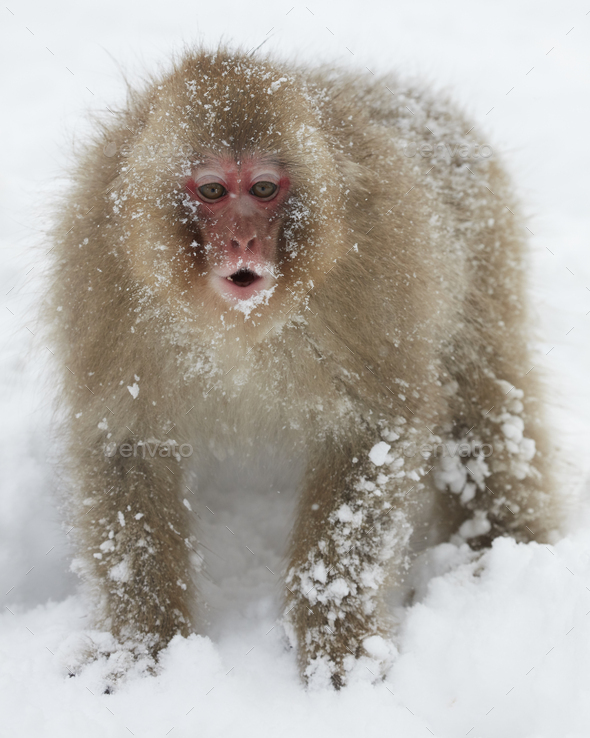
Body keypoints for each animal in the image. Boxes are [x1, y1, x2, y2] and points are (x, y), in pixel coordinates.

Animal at [49, 46, 562, 689]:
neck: (238, 326)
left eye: (264, 188)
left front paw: (338, 643)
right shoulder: (105, 284)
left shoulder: (379, 277)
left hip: (484, 252)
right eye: (213, 190)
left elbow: (374, 434)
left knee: (481, 400)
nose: (242, 240)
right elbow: (124, 444)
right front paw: (140, 645)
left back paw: (496, 547)